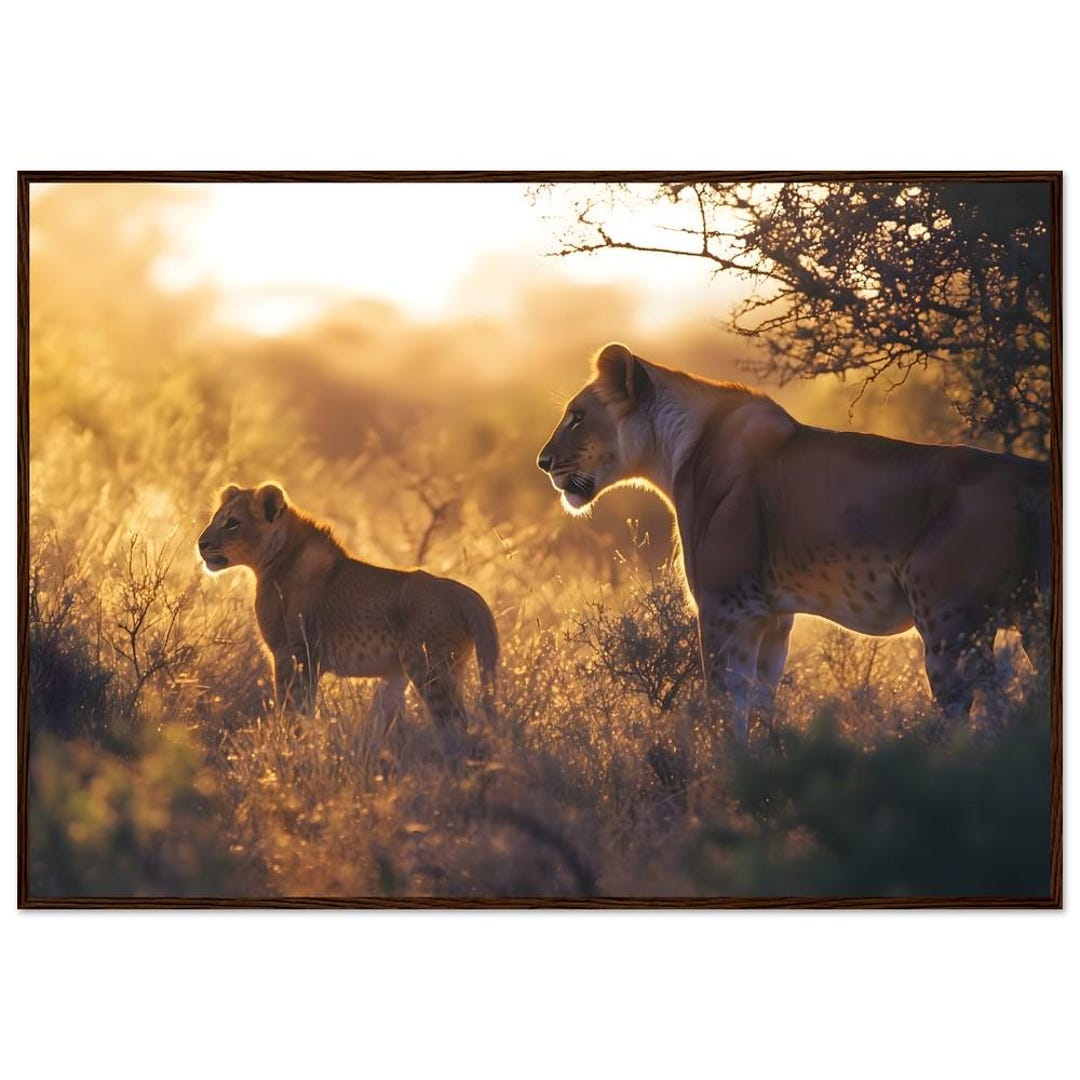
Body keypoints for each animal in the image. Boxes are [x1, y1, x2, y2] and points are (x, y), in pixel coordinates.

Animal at [198, 483, 499, 734]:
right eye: (215, 518)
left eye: (233, 523)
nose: (201, 544)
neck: (275, 558)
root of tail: (468, 594)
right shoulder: (308, 660)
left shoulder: (292, 653)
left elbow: (291, 709)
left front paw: (288, 746)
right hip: (425, 671)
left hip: (428, 667)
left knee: (455, 722)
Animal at [538, 342, 1051, 739]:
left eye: (577, 417)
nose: (543, 462)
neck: (675, 450)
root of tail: (1029, 473)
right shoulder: (773, 618)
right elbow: (761, 705)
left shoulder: (726, 608)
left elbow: (724, 711)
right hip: (1030, 621)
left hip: (949, 622)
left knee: (981, 715)